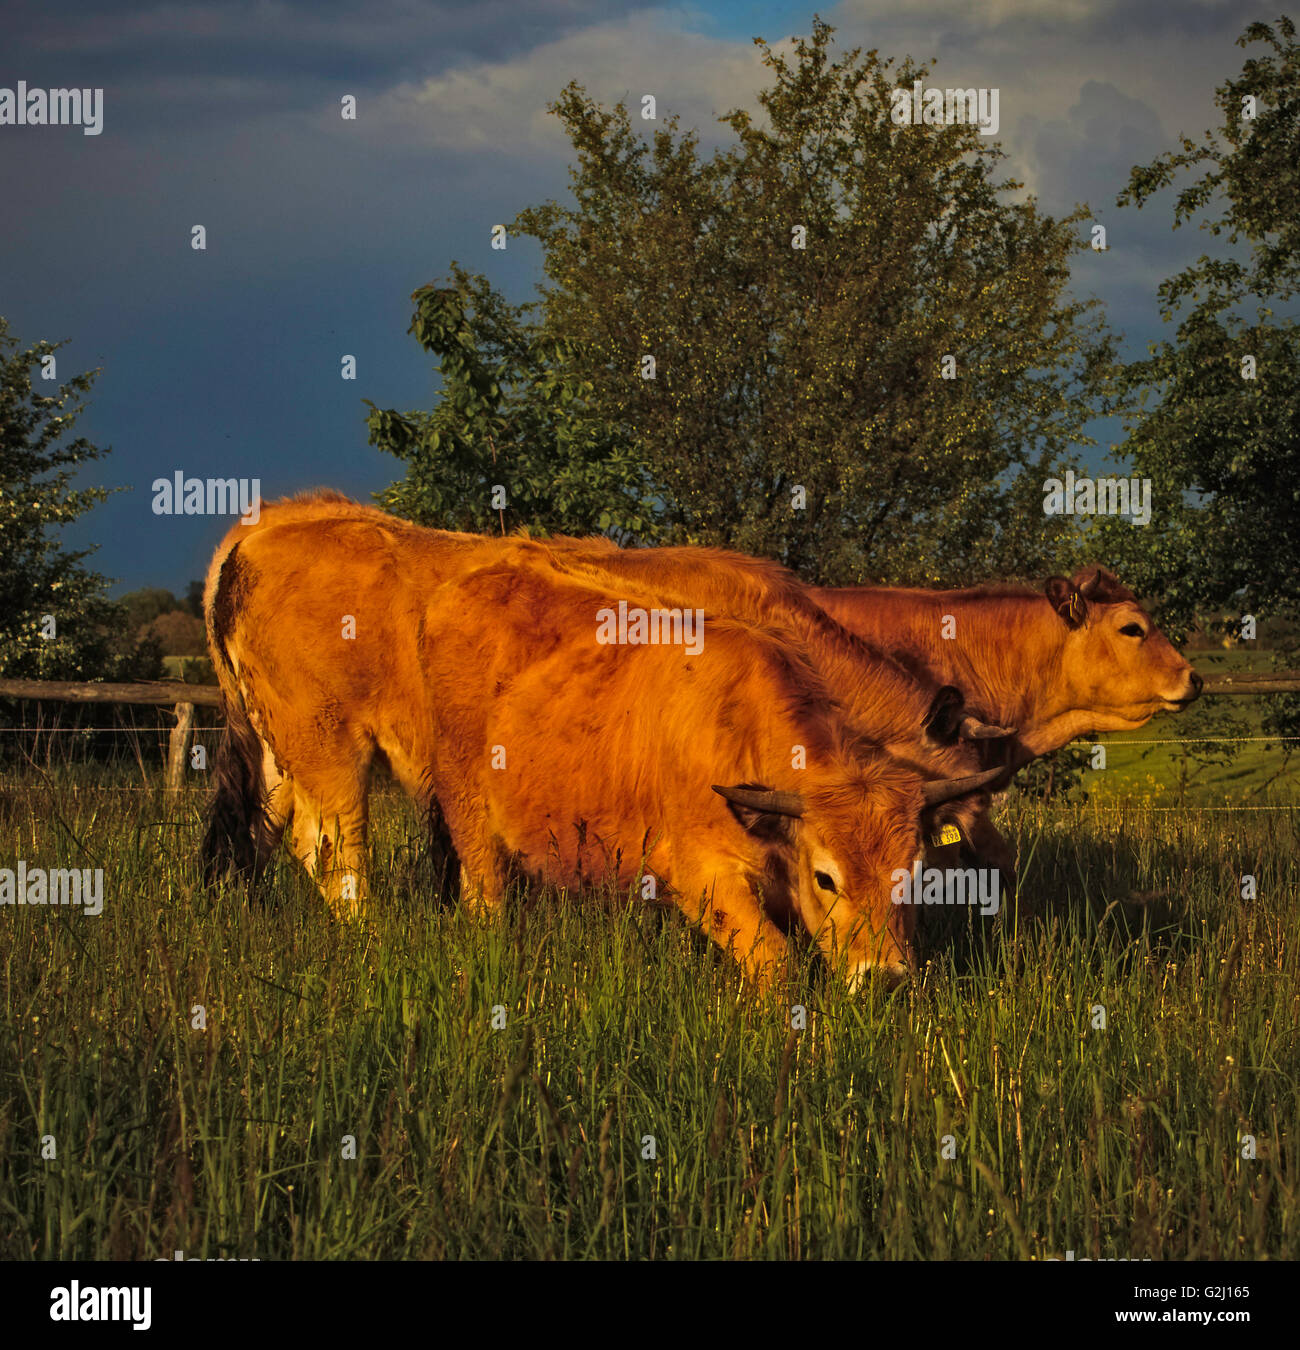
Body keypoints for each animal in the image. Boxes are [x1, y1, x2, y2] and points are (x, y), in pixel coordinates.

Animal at [201, 519, 1000, 988]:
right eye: (969, 811)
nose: (1003, 880)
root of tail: (269, 526)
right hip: (330, 752)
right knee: (337, 856)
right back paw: (368, 941)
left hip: (277, 753)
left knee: (266, 837)